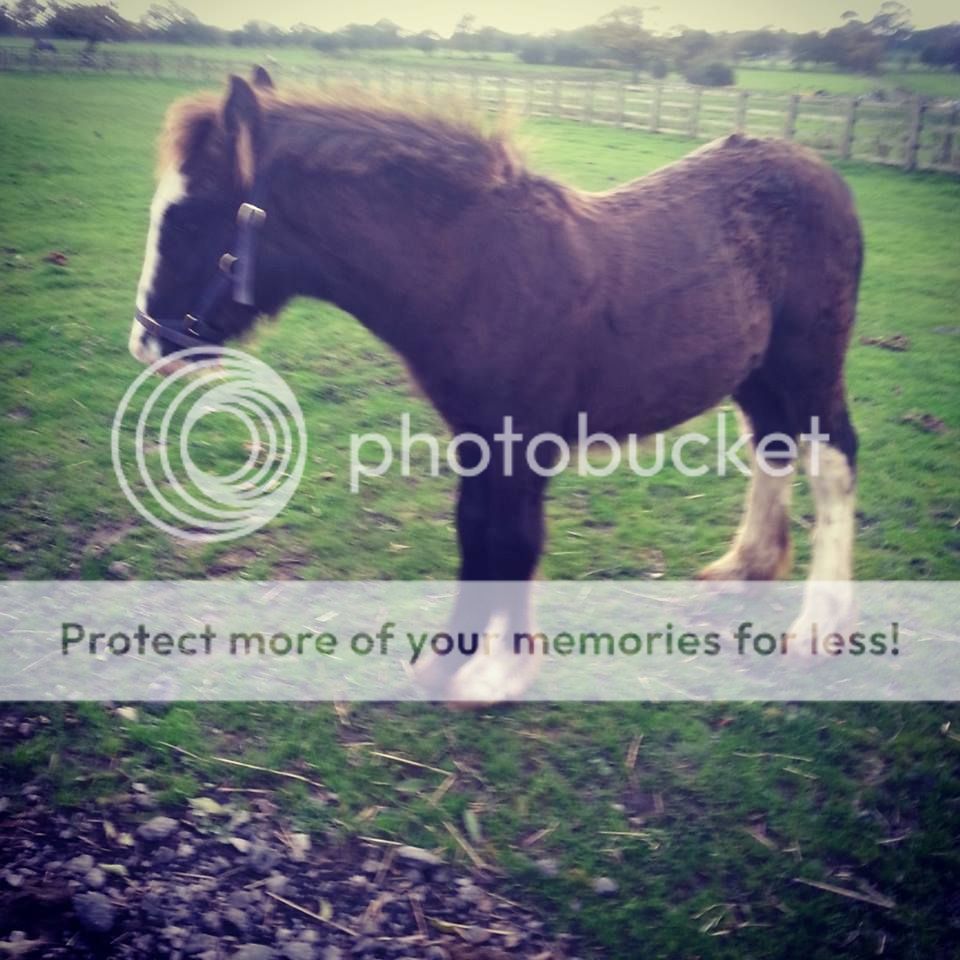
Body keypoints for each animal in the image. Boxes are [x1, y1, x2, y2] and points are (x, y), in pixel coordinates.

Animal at [128, 68, 863, 702]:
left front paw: (493, 677)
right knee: (772, 444)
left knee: (833, 460)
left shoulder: (521, 442)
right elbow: (476, 532)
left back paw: (819, 629)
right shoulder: (479, 438)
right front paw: (447, 662)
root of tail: (820, 170)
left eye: (189, 216)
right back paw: (747, 567)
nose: (146, 342)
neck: (480, 273)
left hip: (809, 364)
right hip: (758, 372)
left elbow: (510, 538)